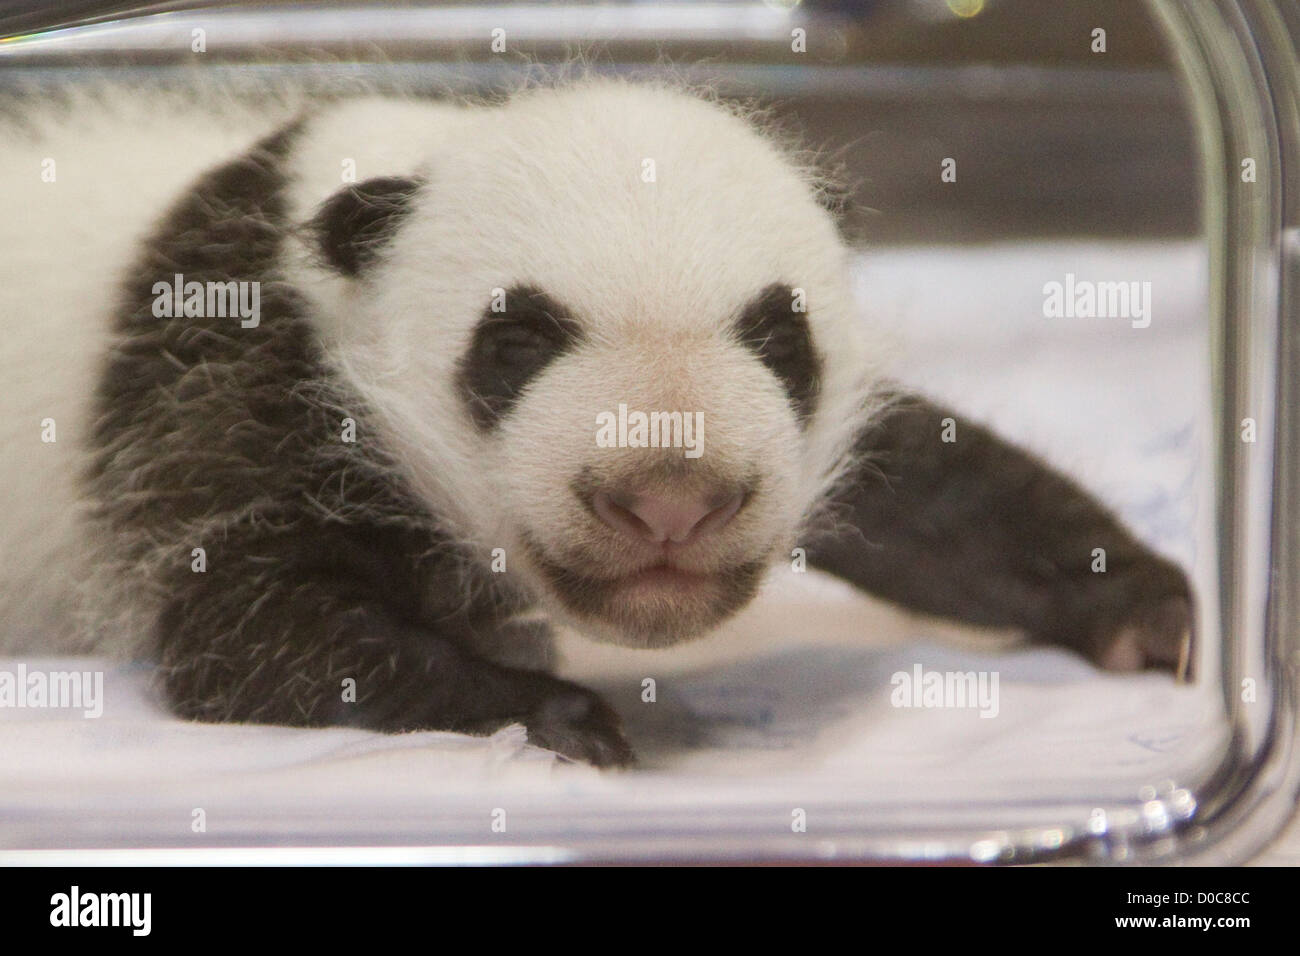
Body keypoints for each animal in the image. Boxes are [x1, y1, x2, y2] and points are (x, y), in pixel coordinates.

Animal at [0, 78, 1193, 766]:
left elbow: (932, 493)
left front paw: (1143, 609)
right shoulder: (220, 386)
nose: (671, 504)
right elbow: (245, 638)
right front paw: (554, 714)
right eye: (517, 340)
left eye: (780, 337)